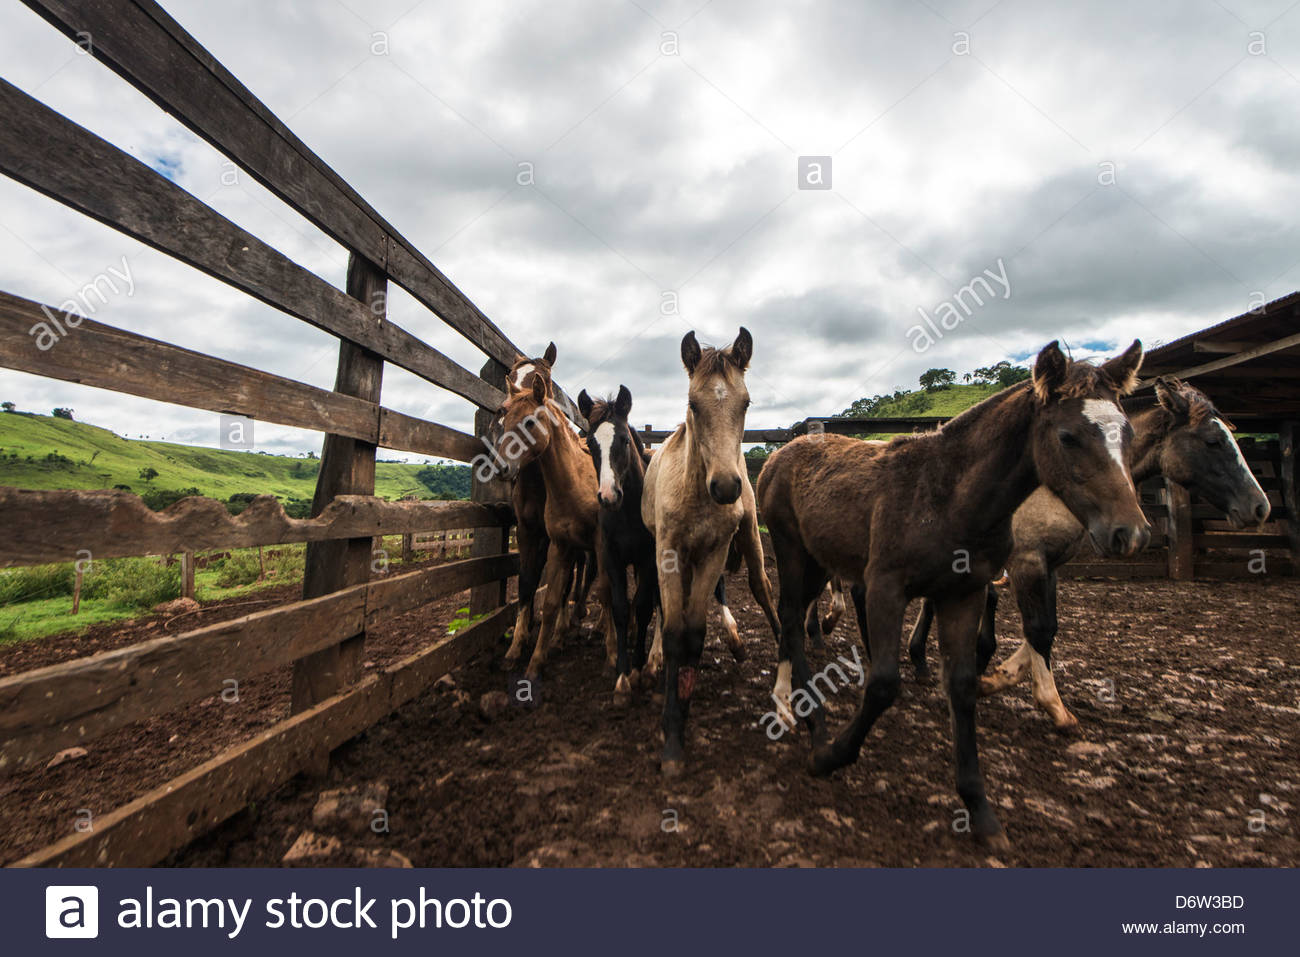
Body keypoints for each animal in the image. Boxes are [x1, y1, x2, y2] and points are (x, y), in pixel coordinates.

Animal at [495, 372, 612, 679]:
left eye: (529, 422)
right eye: (503, 416)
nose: (501, 467)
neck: (573, 480)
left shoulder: (599, 542)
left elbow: (605, 592)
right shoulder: (558, 543)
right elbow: (547, 598)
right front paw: (533, 657)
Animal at [642, 327, 781, 774]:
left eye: (747, 403)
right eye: (692, 404)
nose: (725, 486)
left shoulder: (715, 552)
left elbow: (696, 630)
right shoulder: (668, 552)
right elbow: (673, 629)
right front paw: (672, 732)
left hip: (749, 536)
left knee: (761, 587)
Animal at [756, 340, 1150, 849]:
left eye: (1128, 432)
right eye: (1068, 437)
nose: (1131, 534)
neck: (948, 496)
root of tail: (780, 453)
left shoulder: (965, 594)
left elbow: (962, 687)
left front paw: (979, 808)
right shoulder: (885, 587)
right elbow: (883, 684)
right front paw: (829, 757)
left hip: (820, 558)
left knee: (796, 617)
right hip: (790, 548)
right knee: (788, 615)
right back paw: (809, 716)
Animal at [906, 376, 1271, 729]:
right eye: (1213, 441)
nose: (1260, 506)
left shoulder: (1051, 565)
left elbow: (1046, 628)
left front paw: (996, 677)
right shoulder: (1027, 561)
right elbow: (1037, 628)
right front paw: (1052, 705)